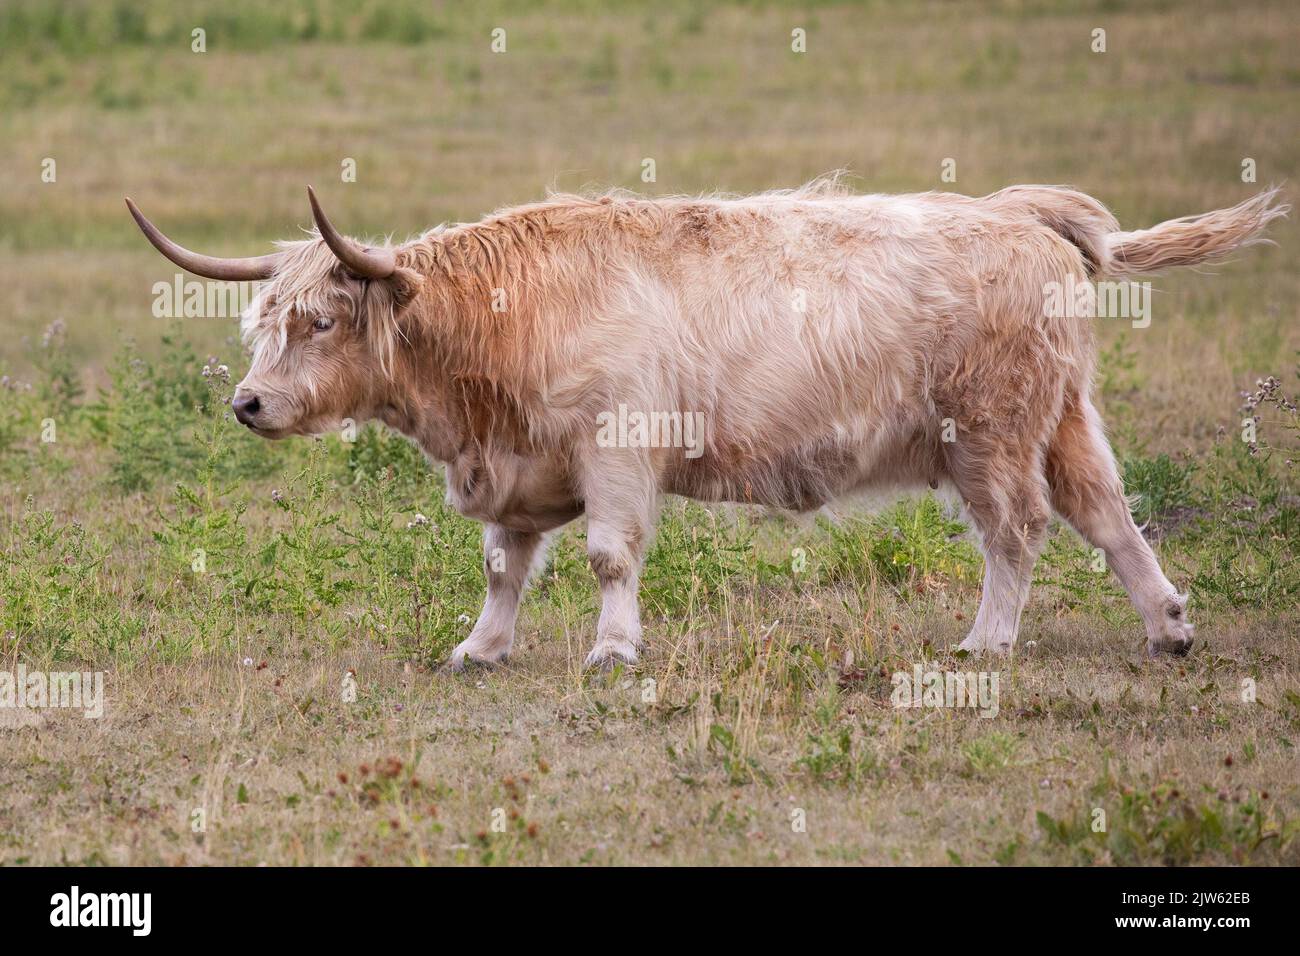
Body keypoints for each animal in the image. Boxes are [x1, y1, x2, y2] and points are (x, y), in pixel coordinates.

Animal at [126, 180, 1286, 669]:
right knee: (1108, 513)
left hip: (989, 431)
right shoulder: (520, 472)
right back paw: (1167, 626)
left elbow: (607, 555)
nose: (248, 403)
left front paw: (612, 650)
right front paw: (480, 648)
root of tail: (1017, 211)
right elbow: (504, 565)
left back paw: (987, 641)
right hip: (1062, 414)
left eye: (319, 321)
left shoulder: (615, 450)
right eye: (263, 324)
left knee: (1018, 530)